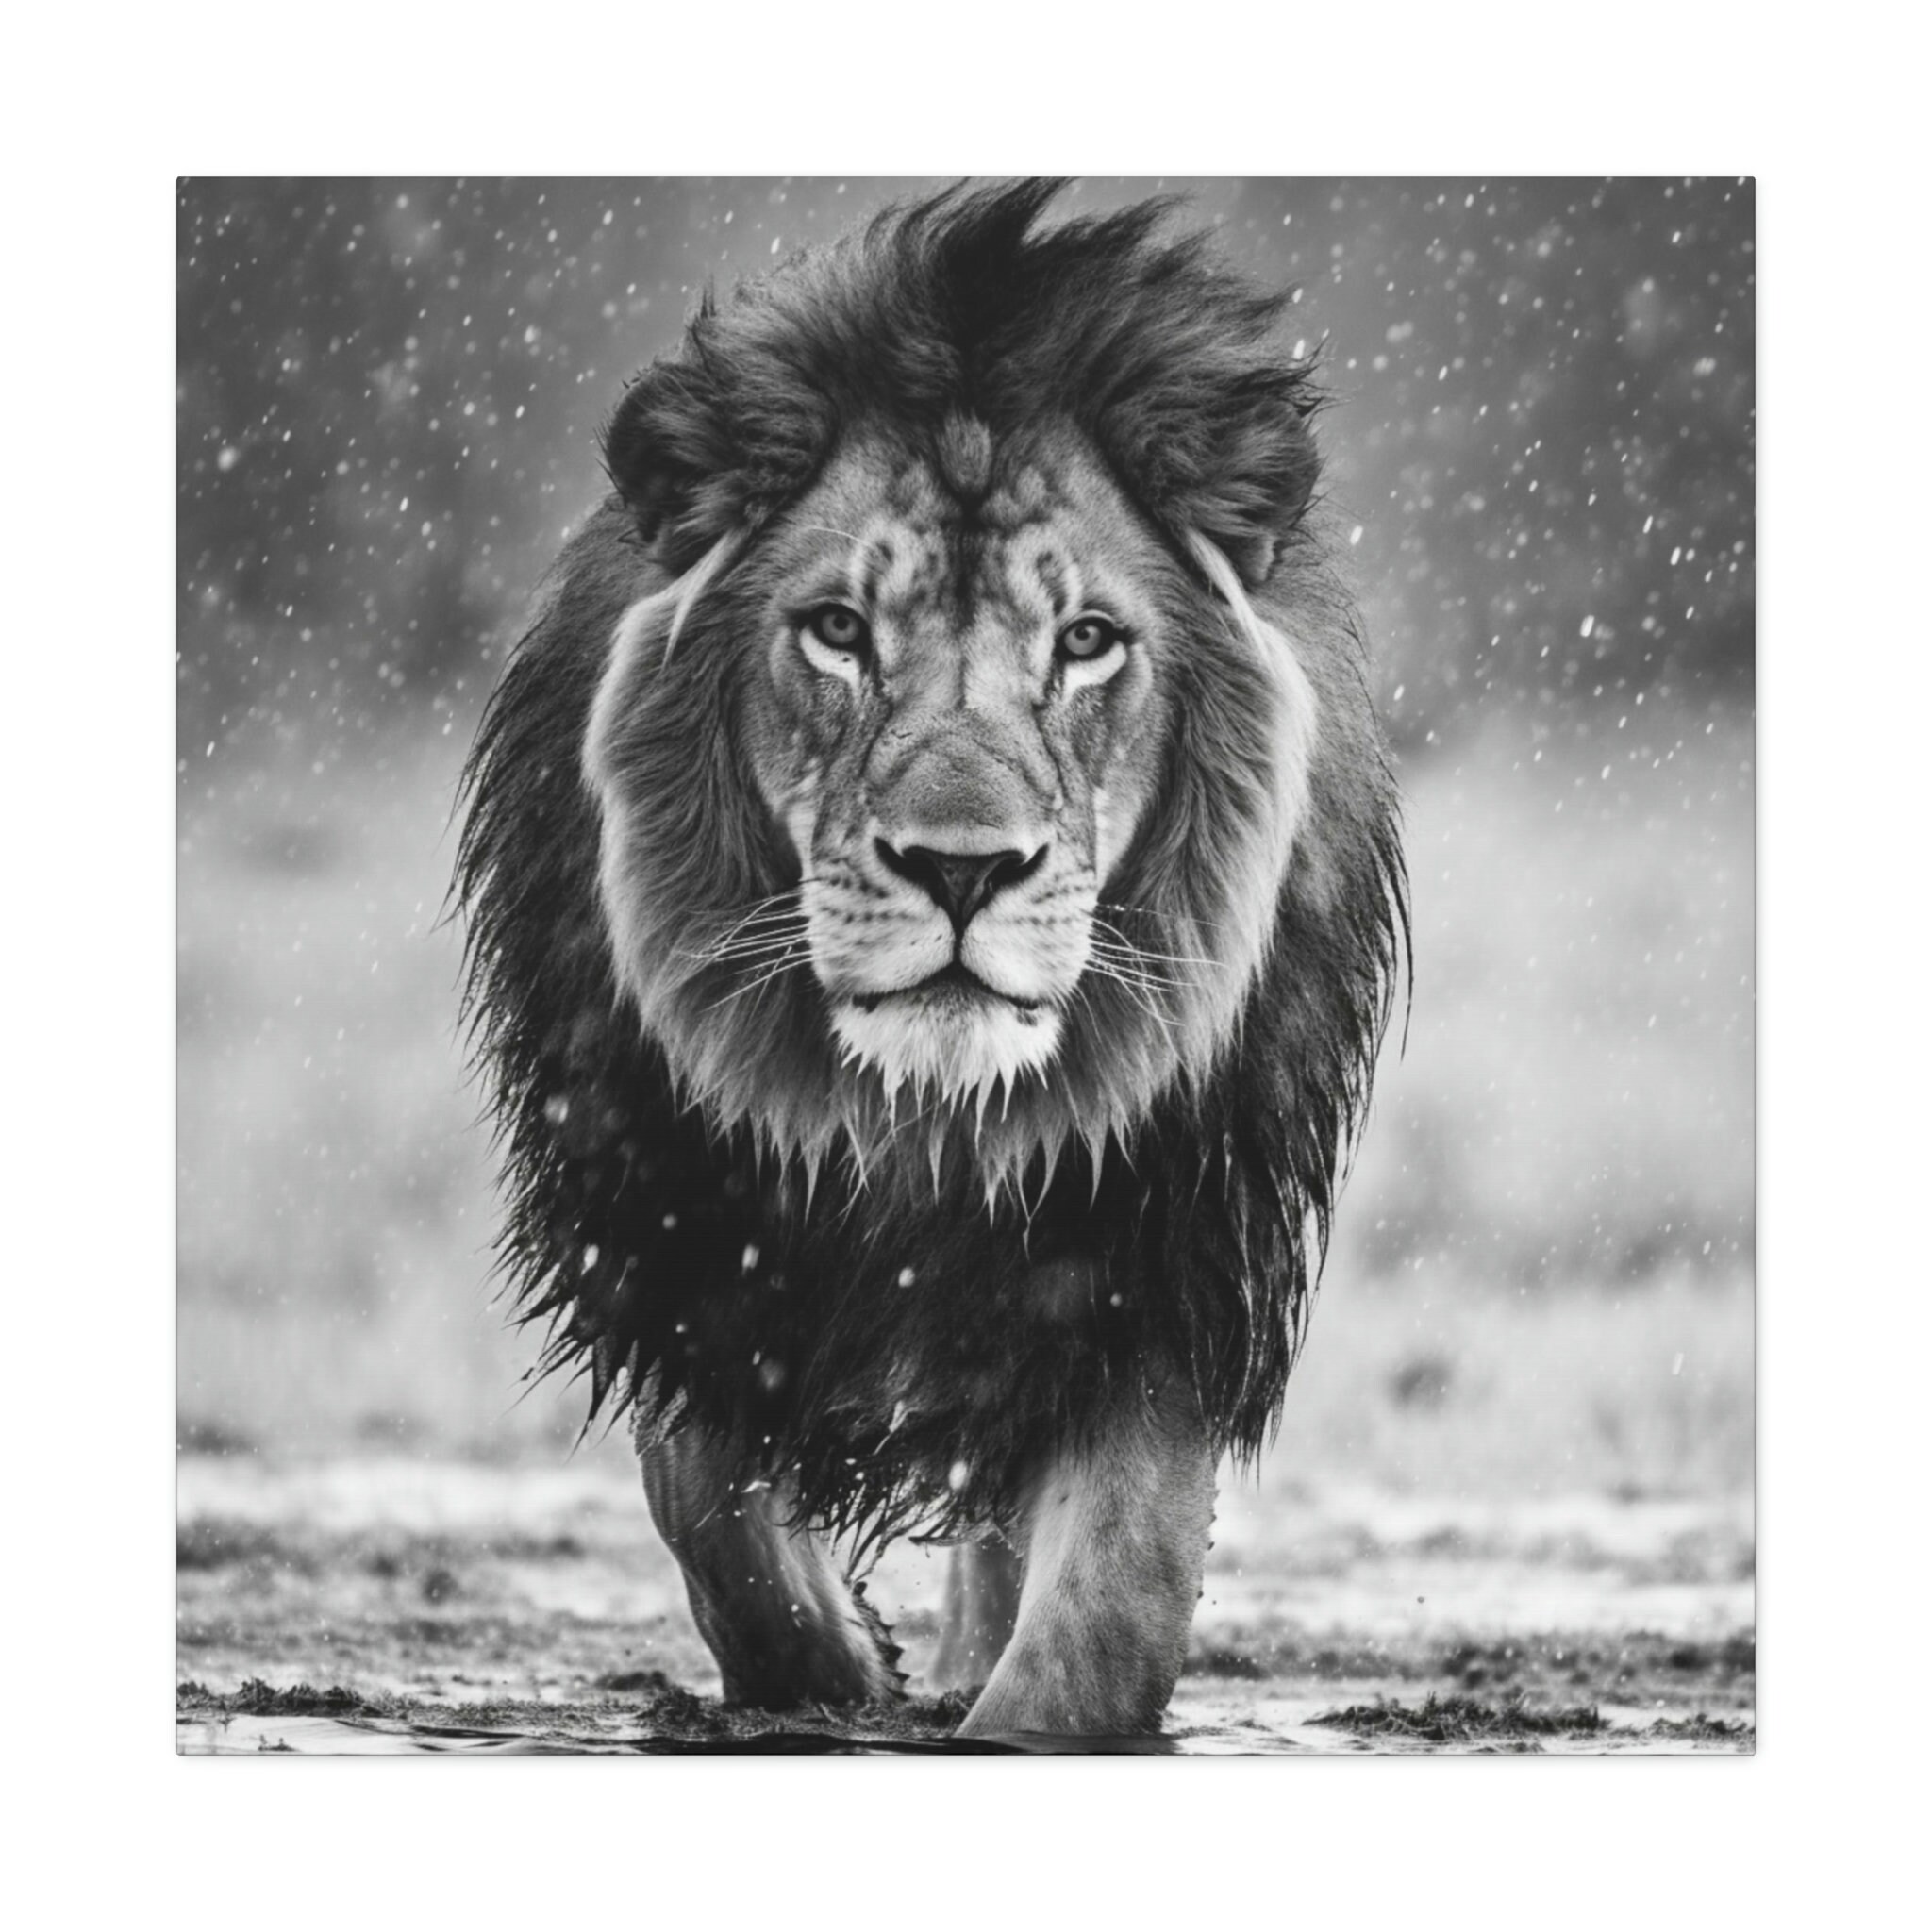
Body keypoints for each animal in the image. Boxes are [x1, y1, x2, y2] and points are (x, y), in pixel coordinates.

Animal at [456, 180, 1407, 1739]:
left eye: (1088, 642)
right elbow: (714, 1514)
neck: (921, 1127)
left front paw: (1008, 1712)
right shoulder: (667, 1221)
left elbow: (1115, 1594)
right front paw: (836, 1686)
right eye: (839, 631)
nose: (963, 869)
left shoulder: (1161, 1256)